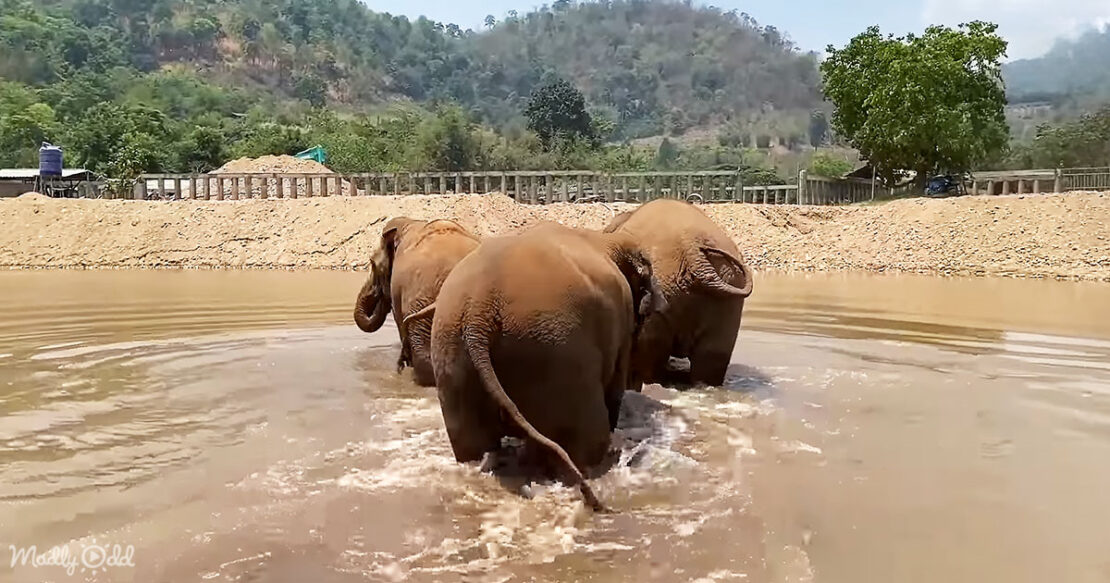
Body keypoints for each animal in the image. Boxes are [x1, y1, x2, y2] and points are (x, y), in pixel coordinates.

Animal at [410, 222, 665, 510]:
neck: (605, 240)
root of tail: (479, 310)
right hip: (555, 350)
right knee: (587, 434)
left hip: (452, 347)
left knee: (471, 443)